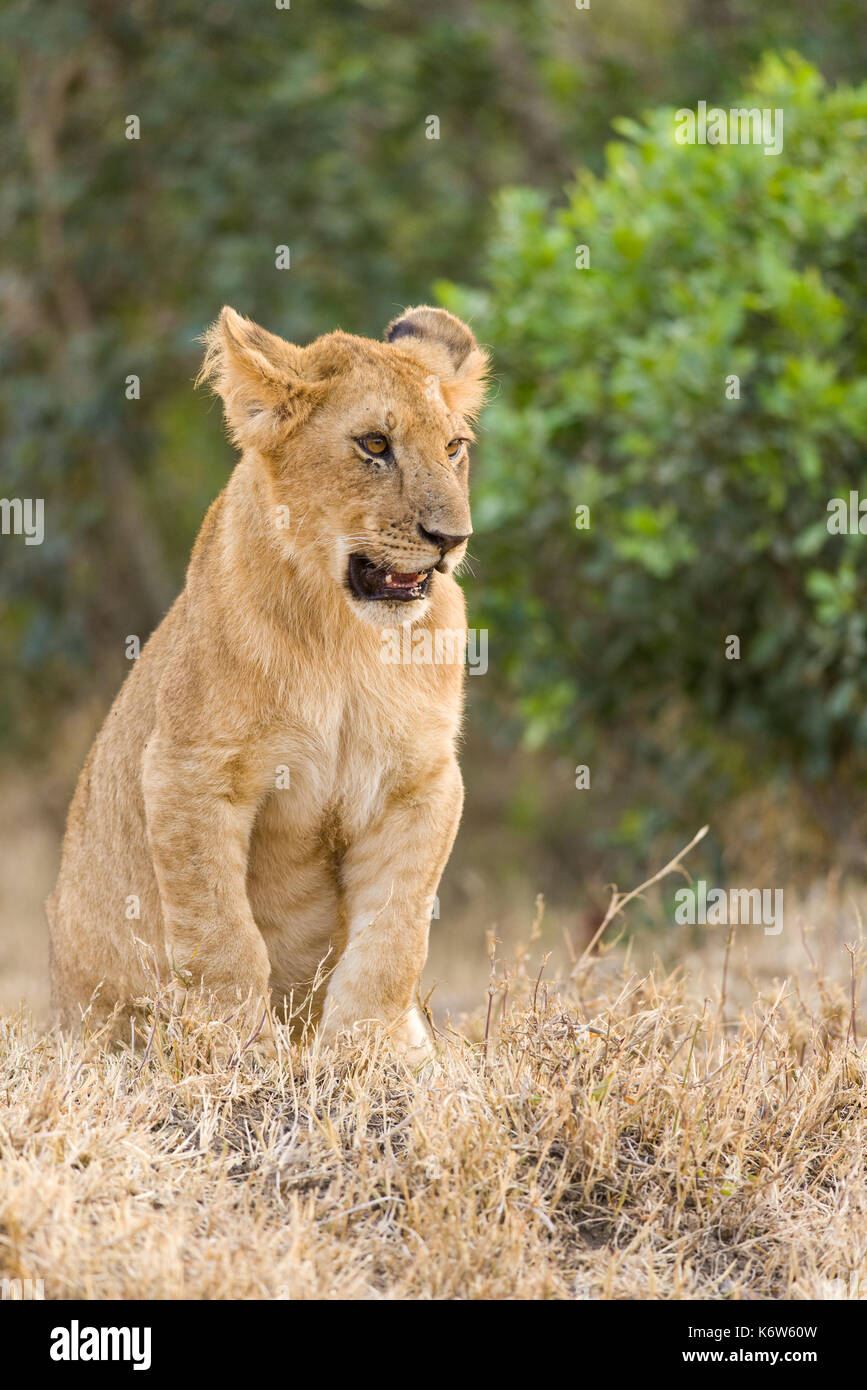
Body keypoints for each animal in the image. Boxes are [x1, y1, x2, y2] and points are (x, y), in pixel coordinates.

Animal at [46, 305, 489, 1059]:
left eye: (454, 446)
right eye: (374, 444)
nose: (451, 539)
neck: (347, 641)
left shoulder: (421, 783)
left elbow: (393, 938)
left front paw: (371, 1054)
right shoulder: (189, 771)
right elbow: (222, 934)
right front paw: (238, 1053)